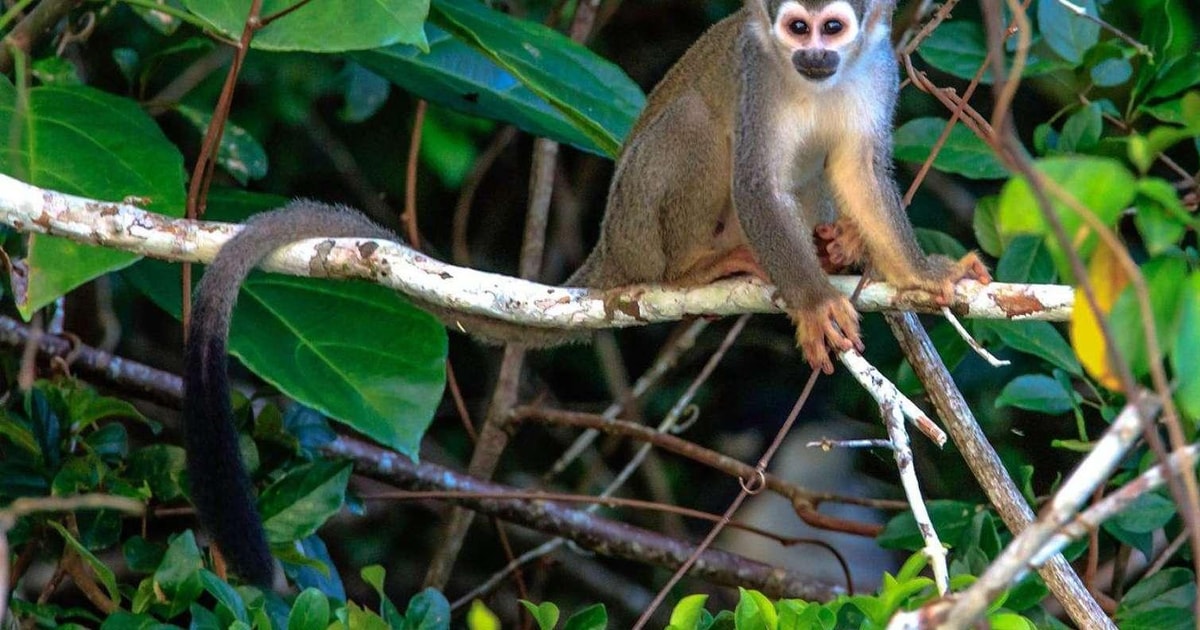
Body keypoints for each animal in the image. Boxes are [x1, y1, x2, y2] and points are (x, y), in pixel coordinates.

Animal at [185, 0, 988, 584]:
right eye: (797, 28)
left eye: (832, 30)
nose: (812, 57)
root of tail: (608, 244)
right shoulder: (758, 74)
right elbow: (755, 181)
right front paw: (816, 303)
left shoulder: (876, 68)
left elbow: (859, 167)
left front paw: (922, 274)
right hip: (637, 221)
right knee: (700, 126)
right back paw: (696, 267)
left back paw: (834, 246)